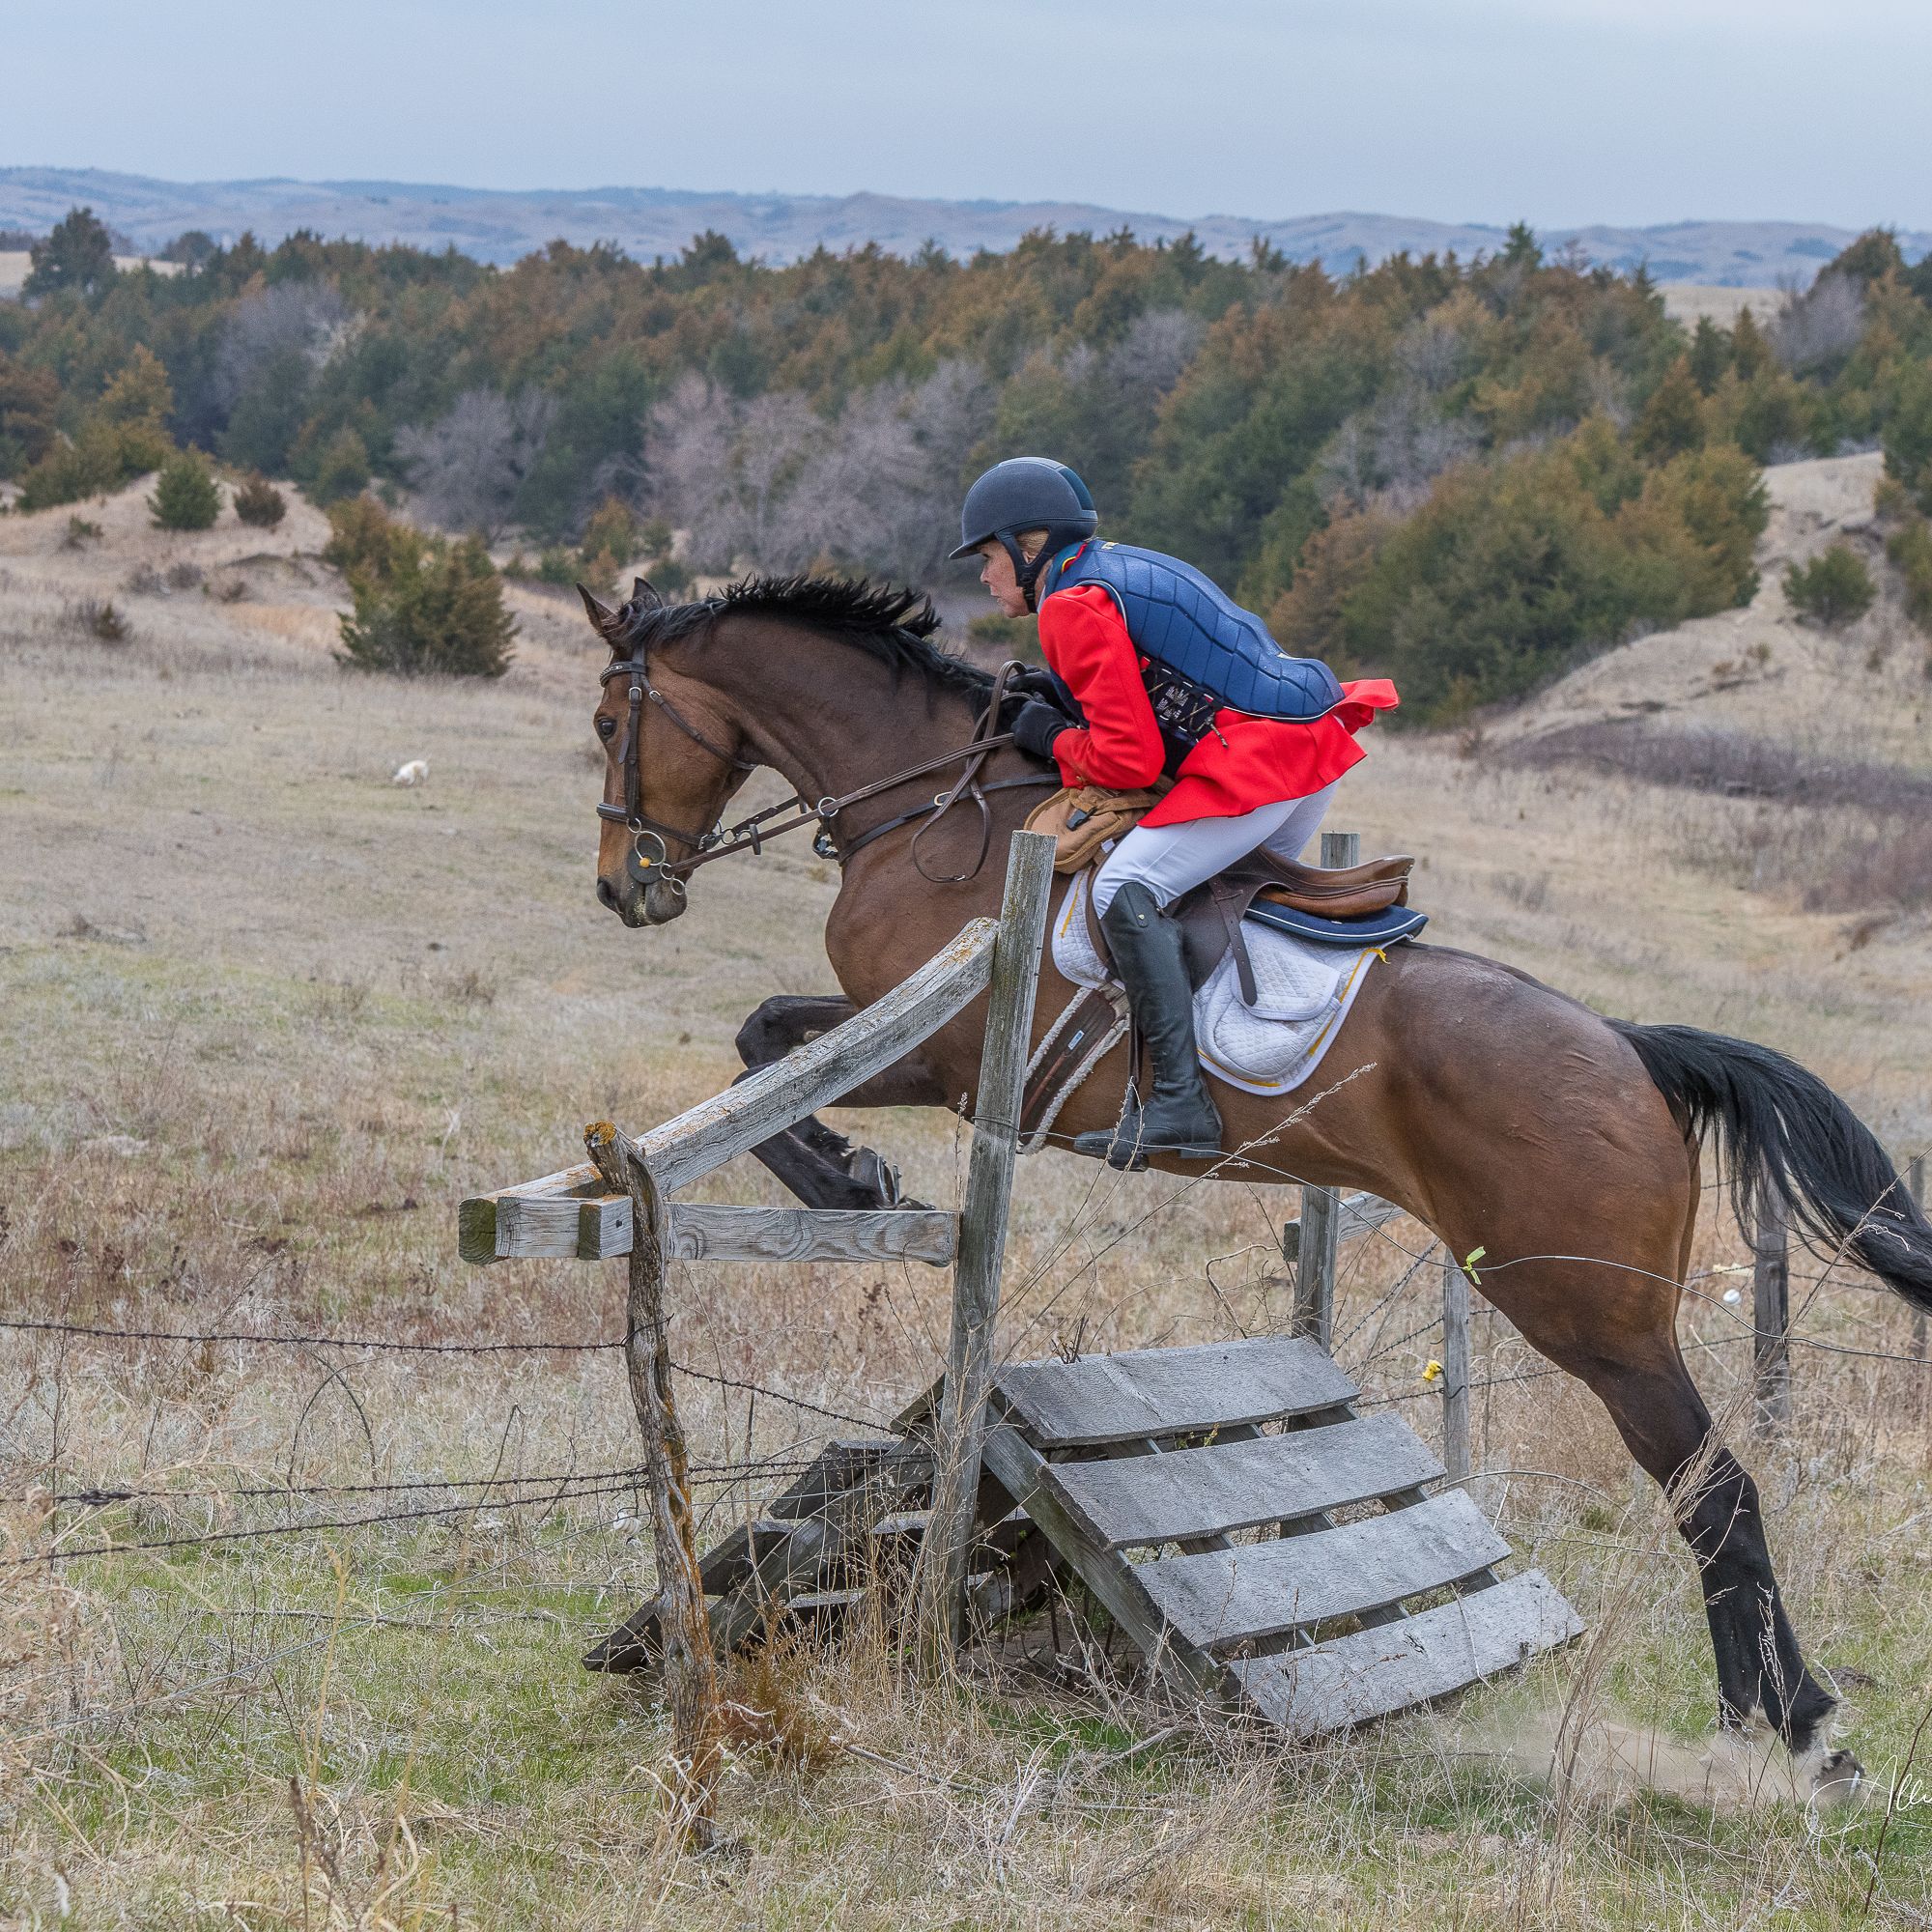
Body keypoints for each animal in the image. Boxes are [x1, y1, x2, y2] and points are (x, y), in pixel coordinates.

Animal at [583, 571, 1932, 1786]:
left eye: (606, 722)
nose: (623, 887)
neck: (927, 803)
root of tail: (1629, 1048)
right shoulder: (907, 1036)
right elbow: (767, 1035)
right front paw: (851, 1171)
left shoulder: (949, 1052)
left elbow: (768, 1047)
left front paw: (853, 1181)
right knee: (1709, 1487)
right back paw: (1779, 1721)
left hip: (1586, 1311)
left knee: (1713, 1488)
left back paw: (1788, 1730)